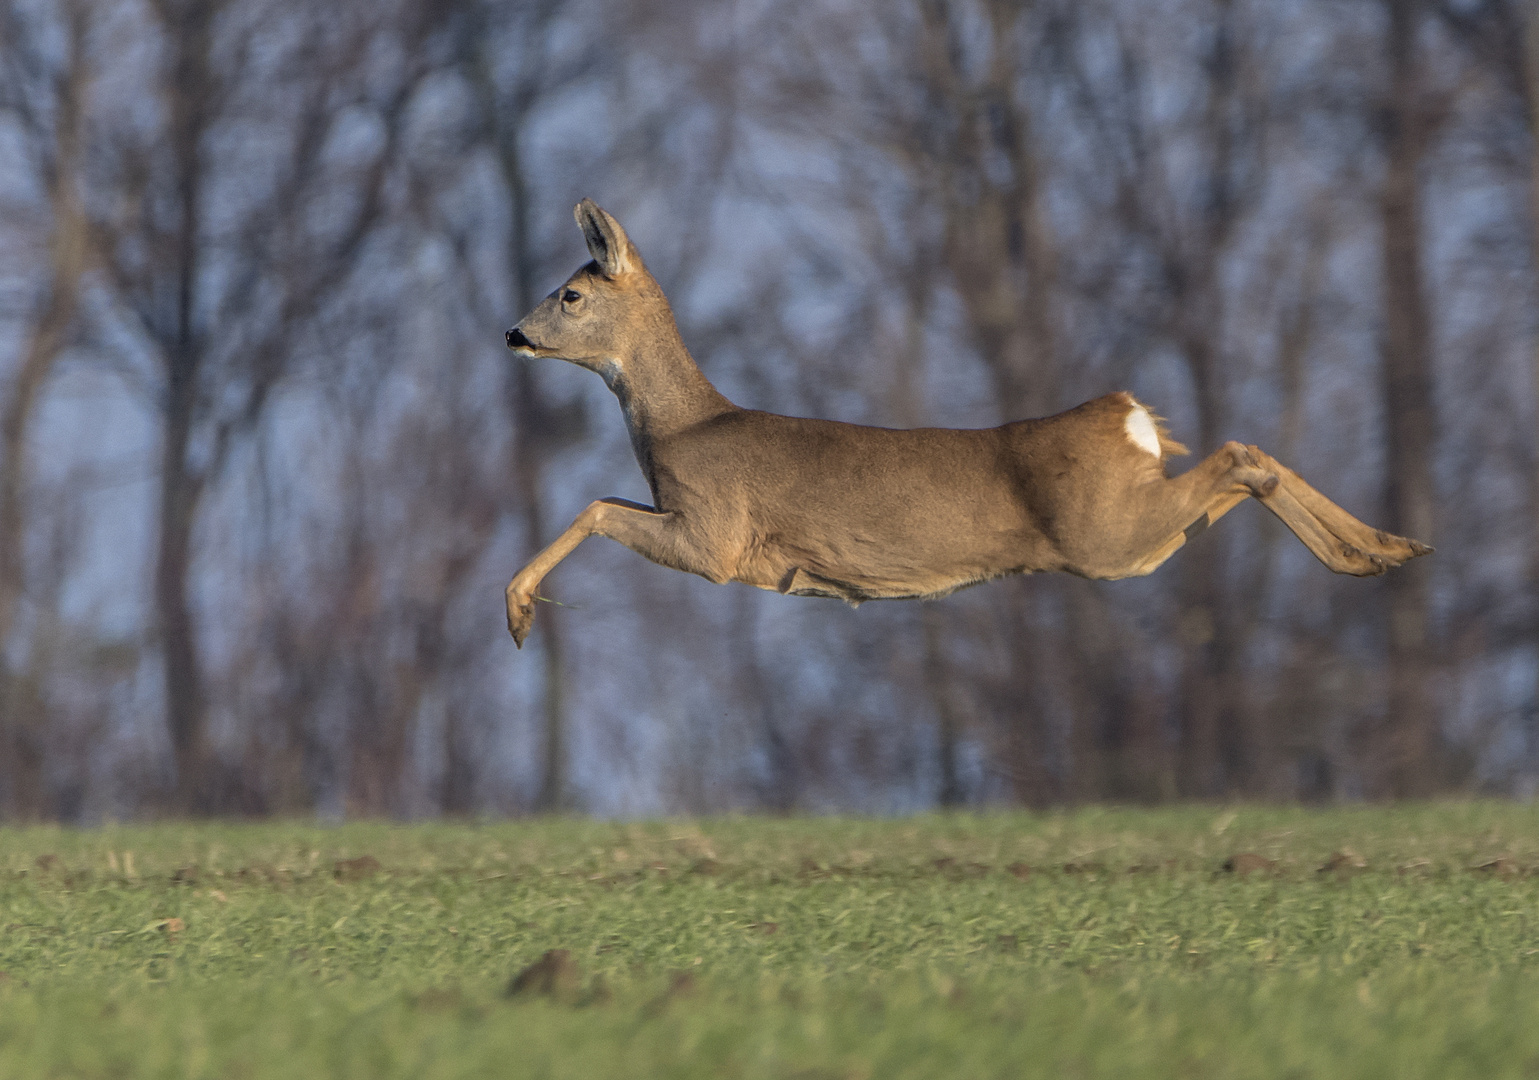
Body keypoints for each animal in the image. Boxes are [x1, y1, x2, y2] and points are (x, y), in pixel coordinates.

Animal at [504, 198, 1428, 646]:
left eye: (570, 294)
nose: (512, 333)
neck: (680, 429)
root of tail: (1127, 415)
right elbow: (600, 500)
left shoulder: (717, 539)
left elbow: (596, 505)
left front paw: (517, 613)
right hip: (1130, 526)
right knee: (1249, 454)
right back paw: (1389, 548)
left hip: (1107, 535)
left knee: (1241, 456)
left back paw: (1366, 556)